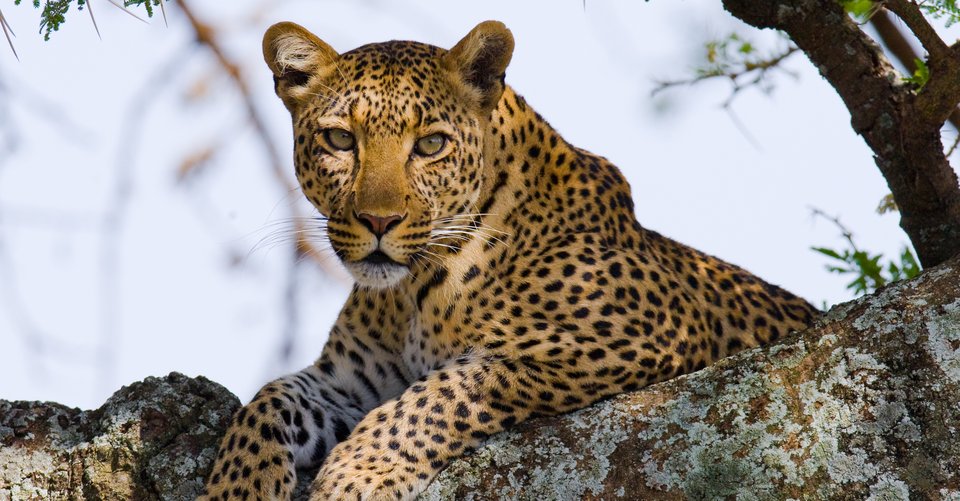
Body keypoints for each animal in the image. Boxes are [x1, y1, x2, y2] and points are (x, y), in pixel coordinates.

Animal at [200, 20, 819, 501]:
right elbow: (269, 399)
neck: (413, 292)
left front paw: (359, 472)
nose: (378, 222)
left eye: (430, 145)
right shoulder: (351, 382)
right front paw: (238, 486)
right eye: (339, 140)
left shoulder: (643, 335)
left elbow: (446, 391)